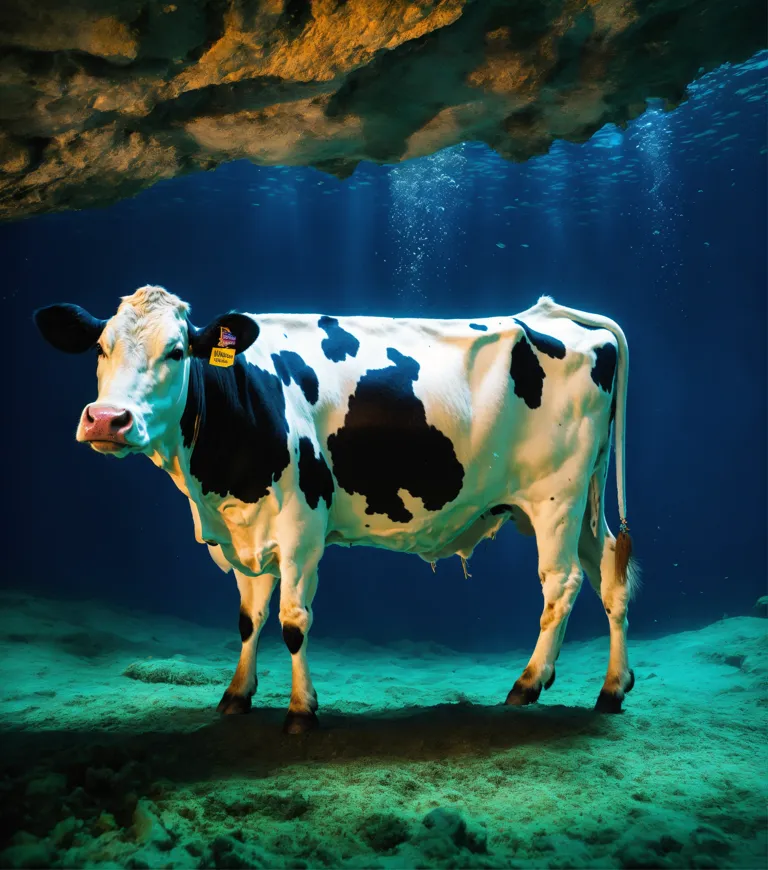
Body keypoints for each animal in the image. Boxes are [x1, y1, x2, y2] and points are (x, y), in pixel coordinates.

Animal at [34, 286, 638, 733]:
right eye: (100, 348)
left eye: (177, 351)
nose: (107, 419)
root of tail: (550, 312)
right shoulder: (243, 528)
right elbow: (248, 619)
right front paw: (237, 695)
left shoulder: (301, 527)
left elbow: (293, 621)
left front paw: (301, 711)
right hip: (579, 500)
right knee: (610, 571)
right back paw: (612, 689)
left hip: (555, 497)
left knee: (560, 582)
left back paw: (529, 682)